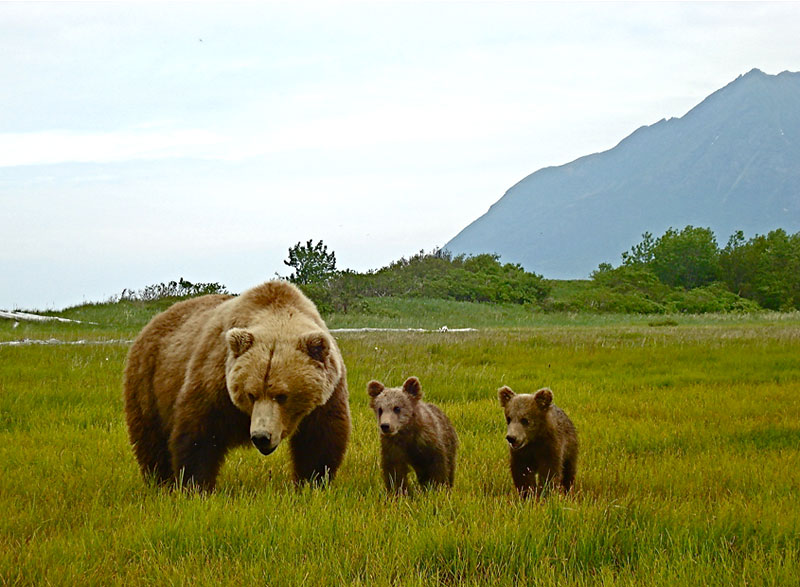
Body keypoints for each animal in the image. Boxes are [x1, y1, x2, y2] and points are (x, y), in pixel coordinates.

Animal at [123, 280, 350, 491]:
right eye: (251, 394)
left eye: (282, 395)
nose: (261, 437)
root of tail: (155, 321)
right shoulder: (215, 380)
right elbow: (197, 435)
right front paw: (196, 487)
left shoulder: (327, 395)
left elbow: (319, 441)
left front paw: (311, 484)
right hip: (148, 382)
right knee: (152, 440)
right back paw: (160, 482)